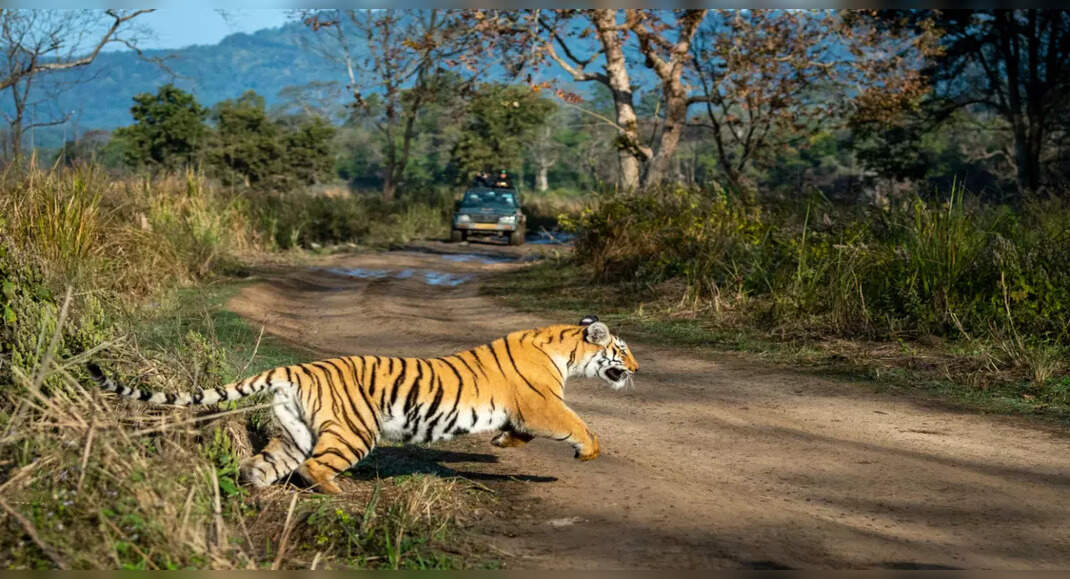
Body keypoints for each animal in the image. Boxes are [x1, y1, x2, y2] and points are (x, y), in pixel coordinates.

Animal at [87, 315, 639, 495]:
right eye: (622, 349)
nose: (636, 368)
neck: (565, 350)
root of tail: (295, 369)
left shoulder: (526, 411)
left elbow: (520, 432)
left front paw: (504, 442)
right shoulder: (542, 404)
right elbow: (578, 424)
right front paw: (589, 451)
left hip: (295, 431)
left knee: (266, 464)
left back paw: (252, 489)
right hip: (354, 432)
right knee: (313, 468)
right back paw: (339, 492)